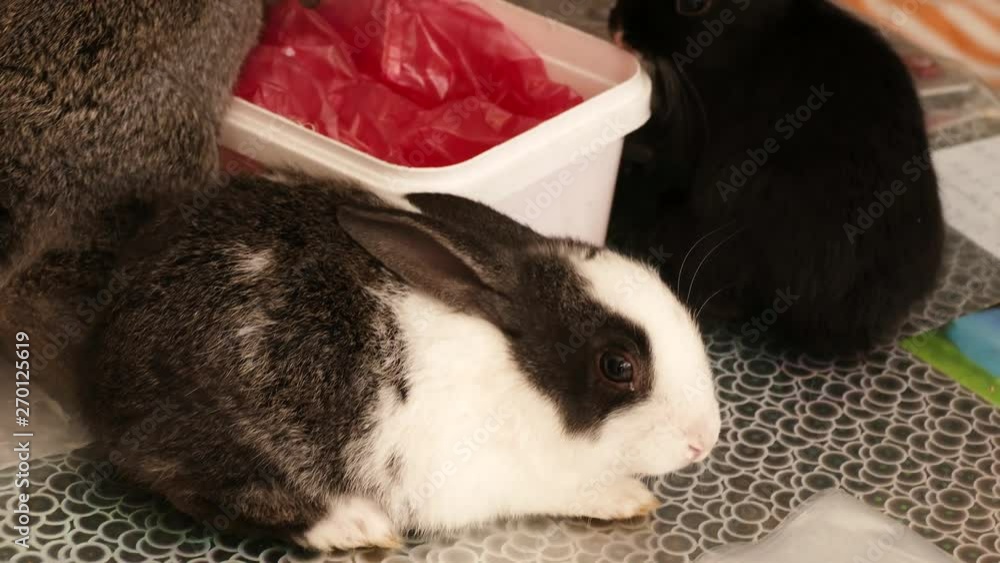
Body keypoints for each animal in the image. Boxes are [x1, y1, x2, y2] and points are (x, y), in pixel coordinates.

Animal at [81, 172, 722, 550]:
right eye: (618, 366)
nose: (705, 442)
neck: (519, 374)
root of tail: (105, 355)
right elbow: (573, 490)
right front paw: (627, 497)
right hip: (222, 439)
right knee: (209, 490)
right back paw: (353, 526)